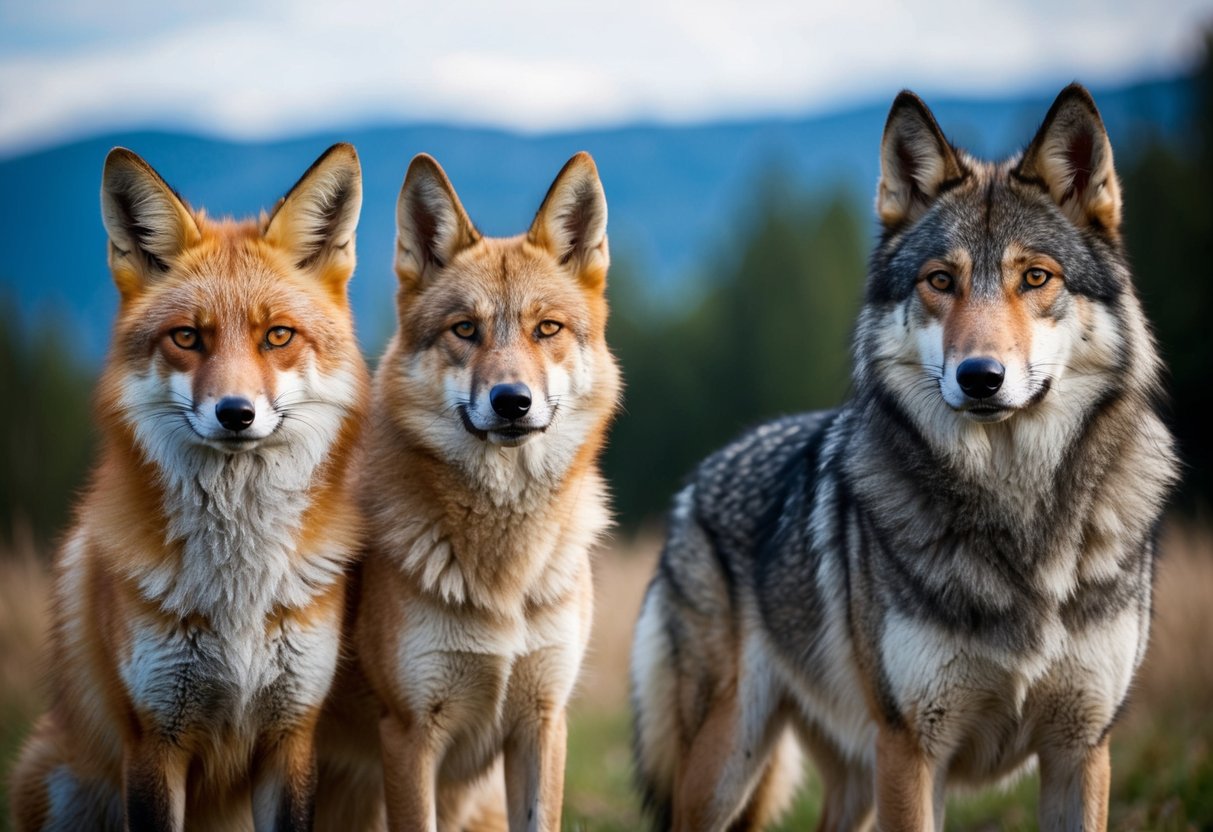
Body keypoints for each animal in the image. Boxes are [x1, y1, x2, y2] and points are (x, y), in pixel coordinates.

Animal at [10, 143, 370, 831]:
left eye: (277, 336)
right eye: (187, 337)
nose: (236, 413)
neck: (238, 592)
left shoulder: (291, 734)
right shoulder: (154, 737)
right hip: (58, 780)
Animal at [315, 151, 621, 832]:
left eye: (546, 328)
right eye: (465, 329)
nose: (512, 401)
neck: (506, 568)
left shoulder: (542, 726)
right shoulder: (409, 736)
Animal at [630, 84, 1179, 831]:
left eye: (1035, 277)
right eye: (940, 280)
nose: (980, 377)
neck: (1017, 520)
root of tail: (699, 481)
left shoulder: (1081, 748)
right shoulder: (913, 749)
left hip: (851, 779)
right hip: (729, 766)